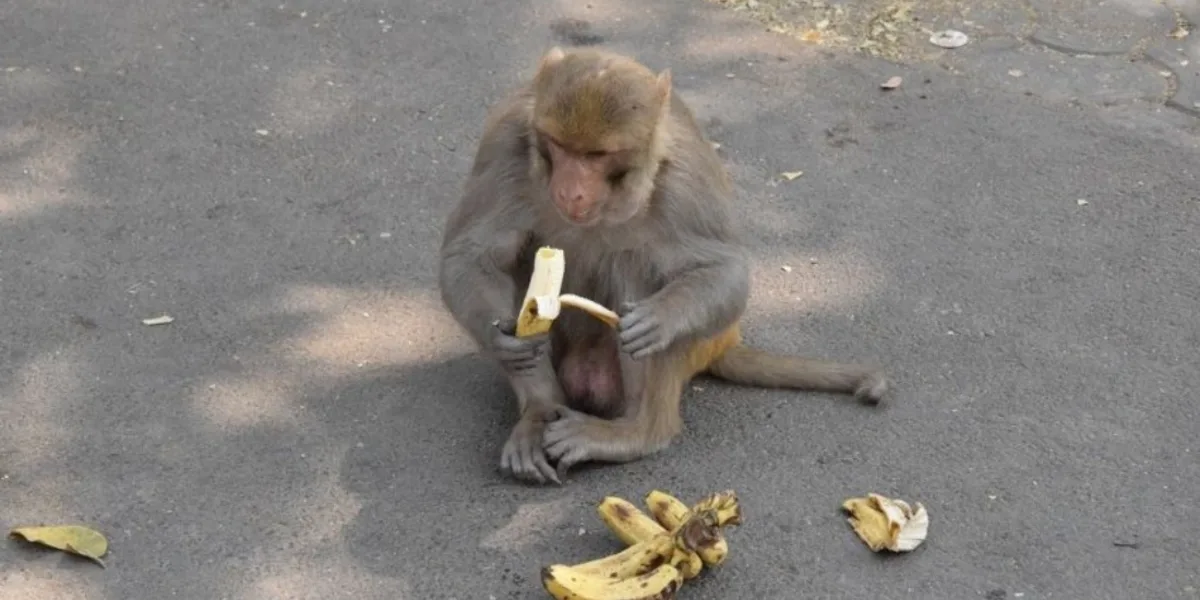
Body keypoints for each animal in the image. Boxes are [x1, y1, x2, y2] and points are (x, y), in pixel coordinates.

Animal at [437, 46, 888, 485]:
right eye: (559, 145)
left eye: (597, 154)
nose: (570, 191)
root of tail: (725, 344)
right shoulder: (506, 141)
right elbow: (472, 255)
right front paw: (503, 338)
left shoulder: (685, 178)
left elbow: (724, 271)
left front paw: (662, 318)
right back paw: (540, 412)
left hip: (701, 340)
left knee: (637, 267)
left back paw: (638, 432)